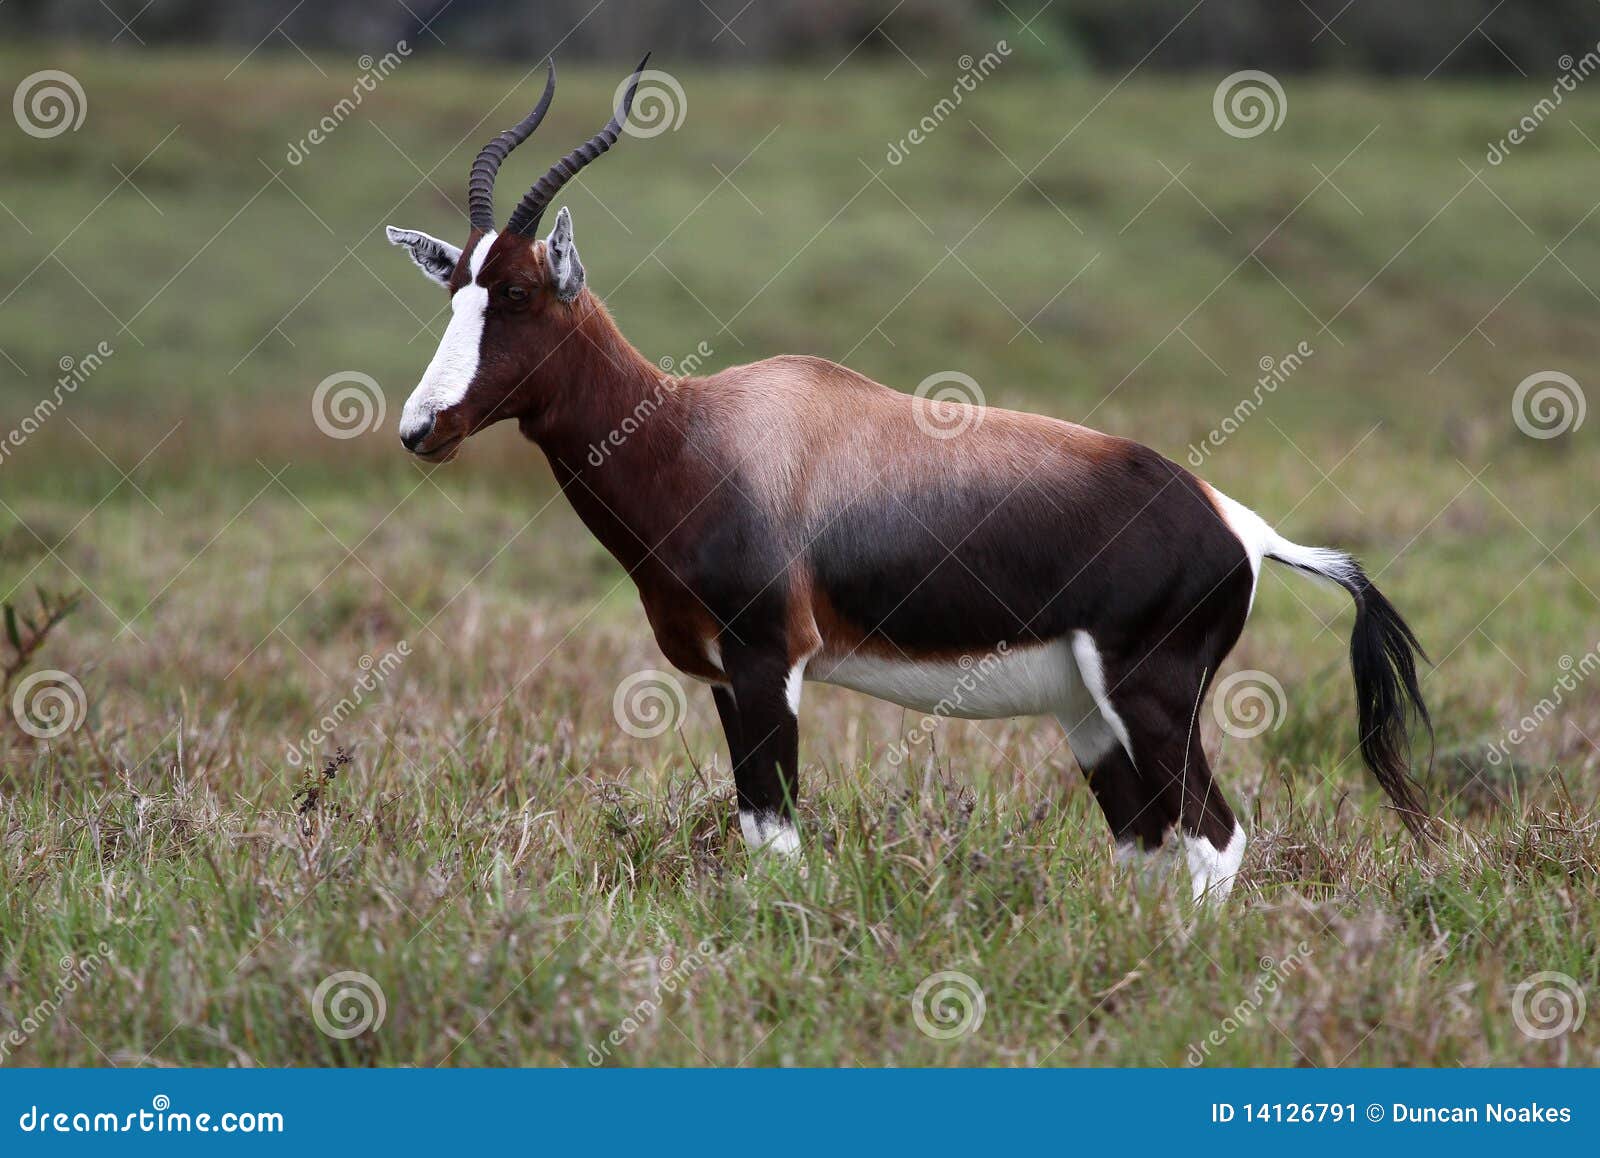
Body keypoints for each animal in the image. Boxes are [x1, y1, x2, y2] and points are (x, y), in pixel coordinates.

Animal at [386, 58, 1432, 902]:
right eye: (456, 288)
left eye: (519, 291)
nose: (420, 429)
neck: (698, 431)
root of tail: (1239, 526)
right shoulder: (724, 678)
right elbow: (755, 830)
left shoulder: (771, 663)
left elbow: (779, 844)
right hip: (1089, 714)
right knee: (1146, 845)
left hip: (1153, 698)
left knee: (1215, 839)